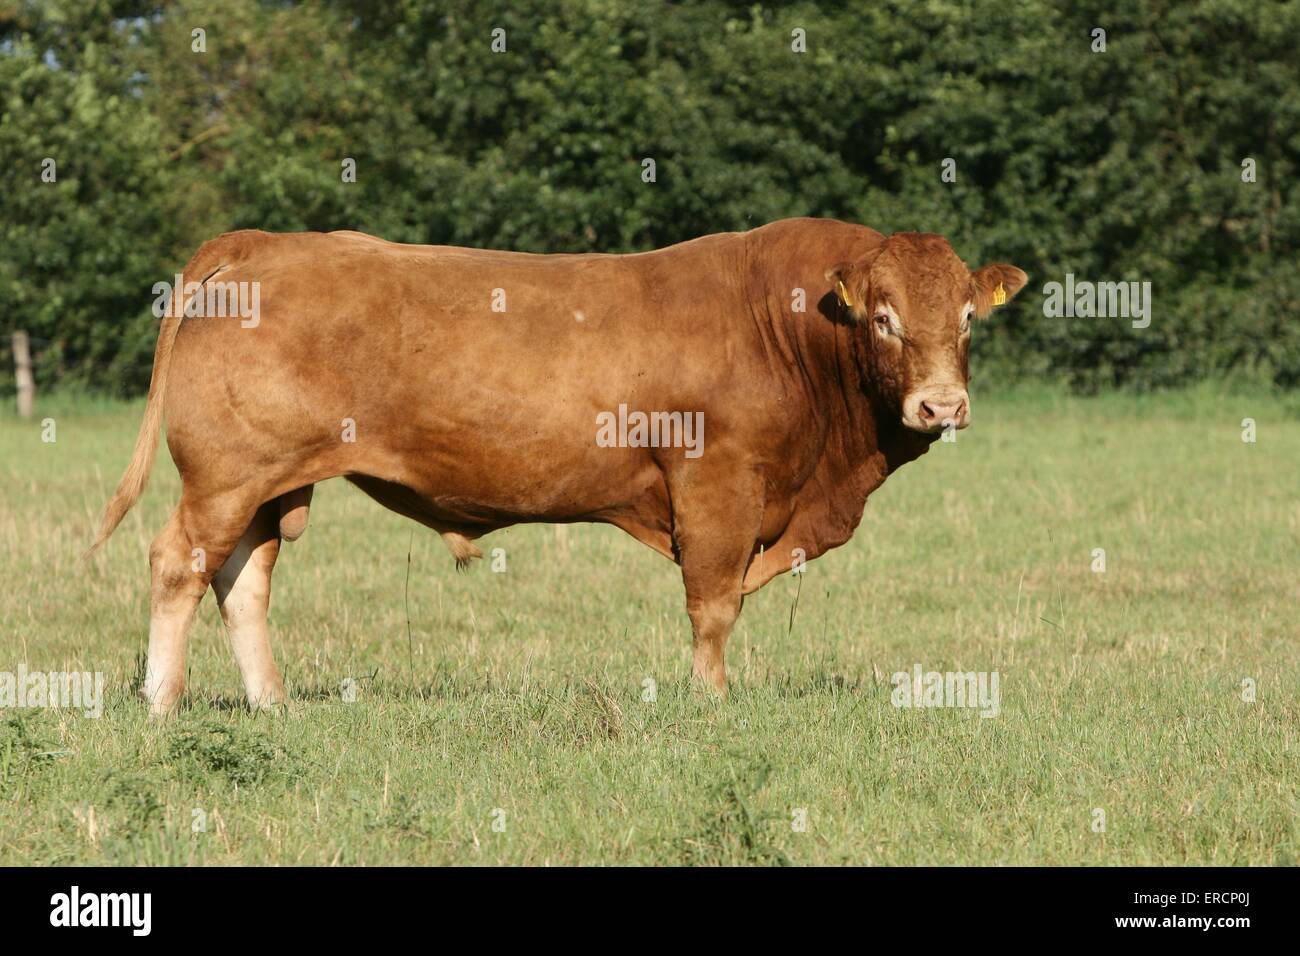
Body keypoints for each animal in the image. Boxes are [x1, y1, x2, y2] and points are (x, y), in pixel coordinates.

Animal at [91, 218, 1026, 715]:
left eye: (968, 318)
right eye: (884, 319)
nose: (941, 407)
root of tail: (268, 242)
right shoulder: (716, 482)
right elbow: (714, 605)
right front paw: (711, 701)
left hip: (267, 483)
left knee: (242, 578)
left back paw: (273, 703)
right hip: (226, 476)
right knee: (178, 566)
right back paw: (162, 704)